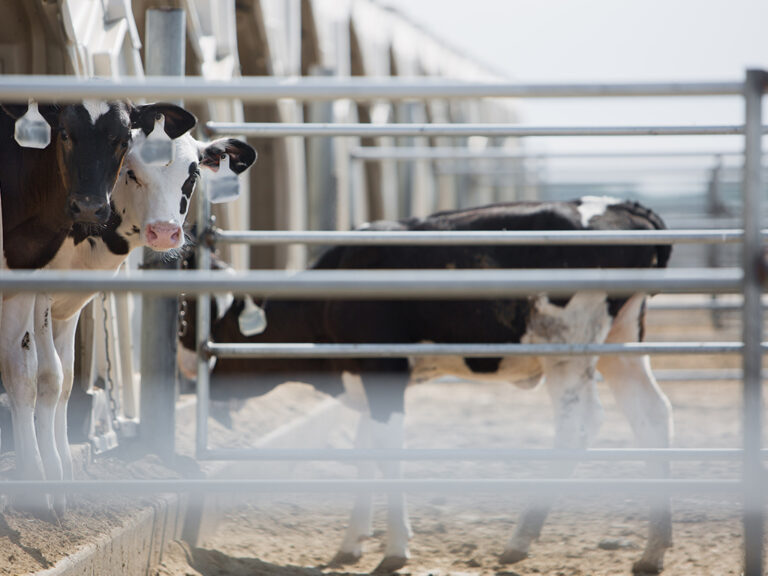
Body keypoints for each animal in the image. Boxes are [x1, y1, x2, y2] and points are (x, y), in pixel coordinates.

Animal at [0, 102, 257, 517]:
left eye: (193, 173)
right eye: (131, 170)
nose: (165, 232)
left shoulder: (67, 306)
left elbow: (65, 379)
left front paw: (61, 472)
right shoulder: (36, 292)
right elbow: (43, 374)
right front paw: (42, 480)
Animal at [178, 196, 673, 575]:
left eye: (195, 316)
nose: (187, 369)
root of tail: (627, 208)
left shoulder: (385, 369)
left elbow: (389, 451)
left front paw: (395, 549)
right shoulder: (365, 379)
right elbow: (365, 450)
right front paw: (351, 543)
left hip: (567, 349)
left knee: (580, 425)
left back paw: (519, 539)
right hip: (622, 341)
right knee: (652, 414)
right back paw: (653, 551)